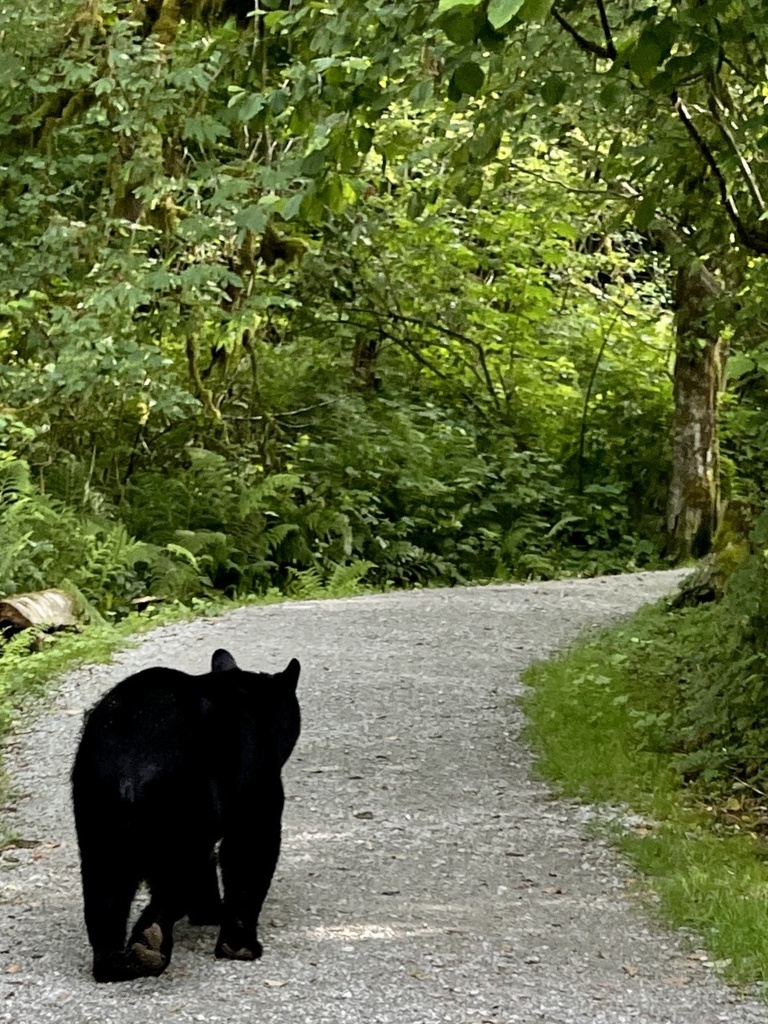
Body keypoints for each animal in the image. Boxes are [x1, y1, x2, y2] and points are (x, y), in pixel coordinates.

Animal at [71, 648, 301, 983]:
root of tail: (130, 766)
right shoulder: (257, 786)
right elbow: (249, 856)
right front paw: (239, 945)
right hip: (181, 812)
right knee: (175, 881)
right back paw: (149, 944)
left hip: (98, 816)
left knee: (105, 889)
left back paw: (113, 963)